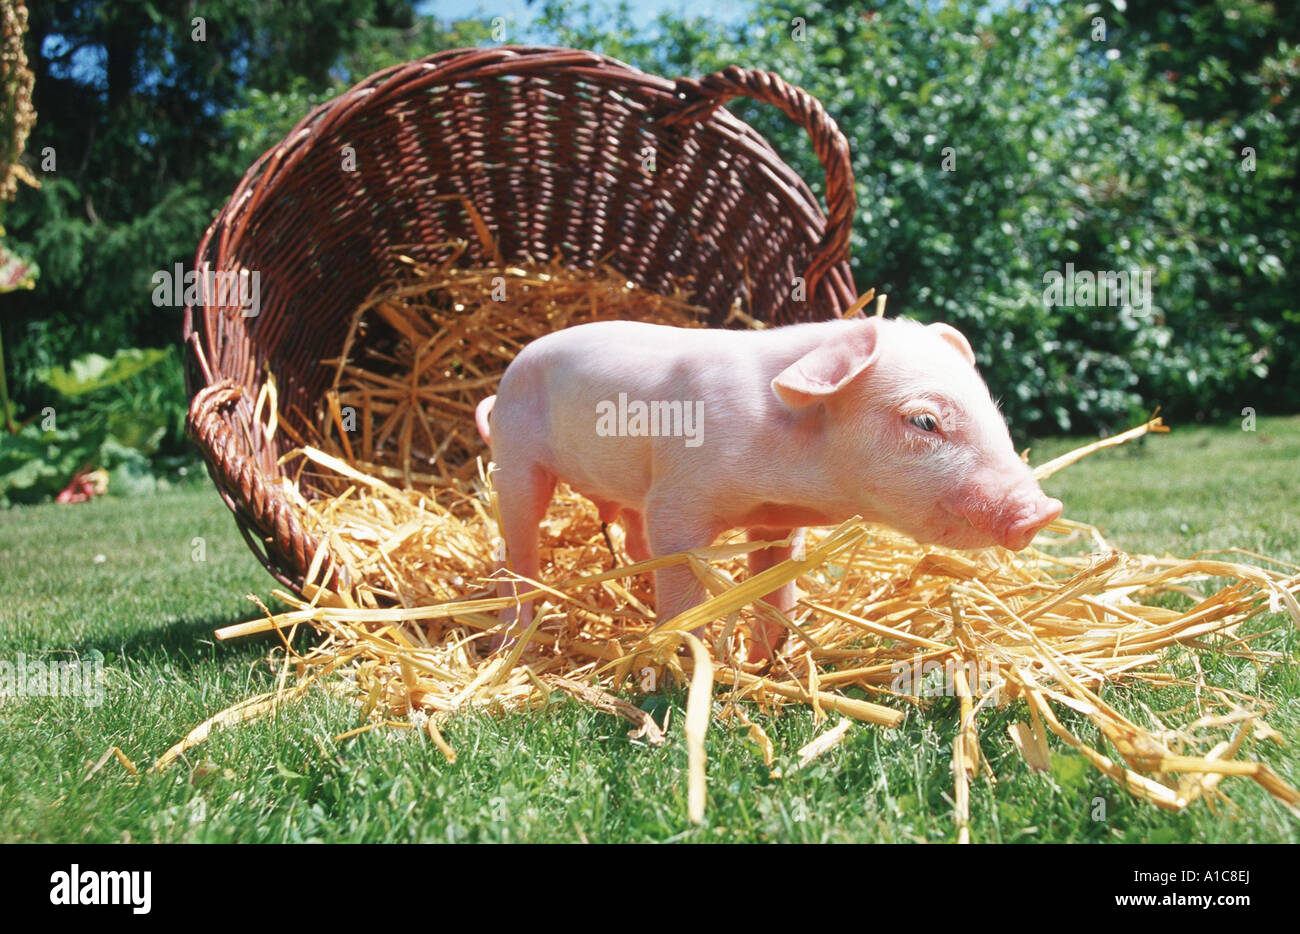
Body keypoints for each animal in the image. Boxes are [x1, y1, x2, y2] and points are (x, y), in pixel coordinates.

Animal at [474, 315, 1063, 661]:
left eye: (991, 405)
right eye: (924, 421)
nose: (1043, 510)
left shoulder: (778, 521)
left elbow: (777, 590)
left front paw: (766, 662)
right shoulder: (680, 501)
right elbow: (685, 585)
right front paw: (682, 660)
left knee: (634, 537)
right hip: (516, 458)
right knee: (517, 544)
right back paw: (510, 640)